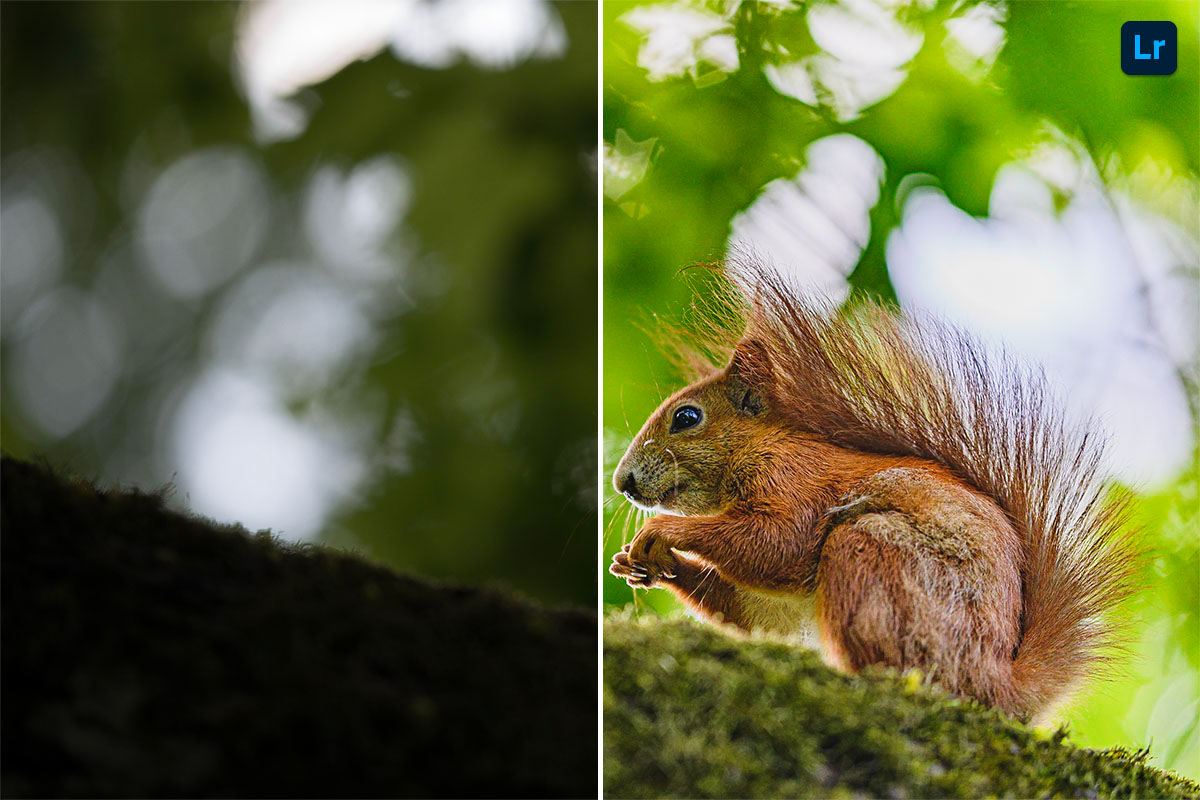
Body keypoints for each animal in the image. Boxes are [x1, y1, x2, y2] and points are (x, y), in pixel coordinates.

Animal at [609, 255, 1139, 722]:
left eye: (687, 417)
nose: (623, 482)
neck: (761, 447)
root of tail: (994, 681)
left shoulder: (795, 480)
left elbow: (777, 543)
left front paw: (665, 532)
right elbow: (762, 613)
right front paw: (641, 563)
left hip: (874, 558)